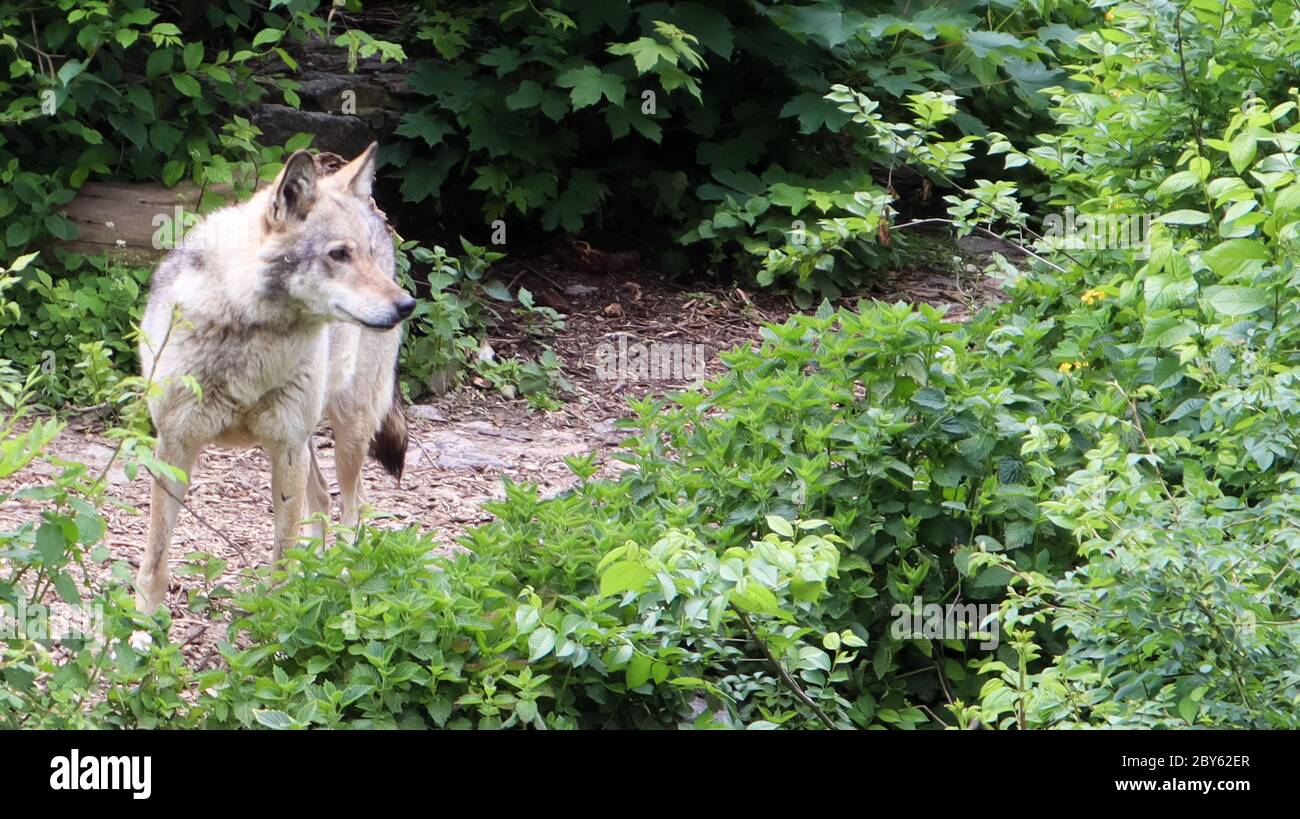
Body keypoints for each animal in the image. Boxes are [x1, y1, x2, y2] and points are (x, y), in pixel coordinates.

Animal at [134, 143, 415, 612]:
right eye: (339, 255)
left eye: (368, 257)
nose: (407, 306)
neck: (250, 332)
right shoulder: (174, 445)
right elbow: (155, 556)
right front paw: (142, 625)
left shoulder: (285, 448)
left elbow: (282, 554)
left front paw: (280, 620)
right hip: (311, 440)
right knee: (322, 496)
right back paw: (318, 575)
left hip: (345, 432)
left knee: (354, 504)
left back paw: (345, 577)